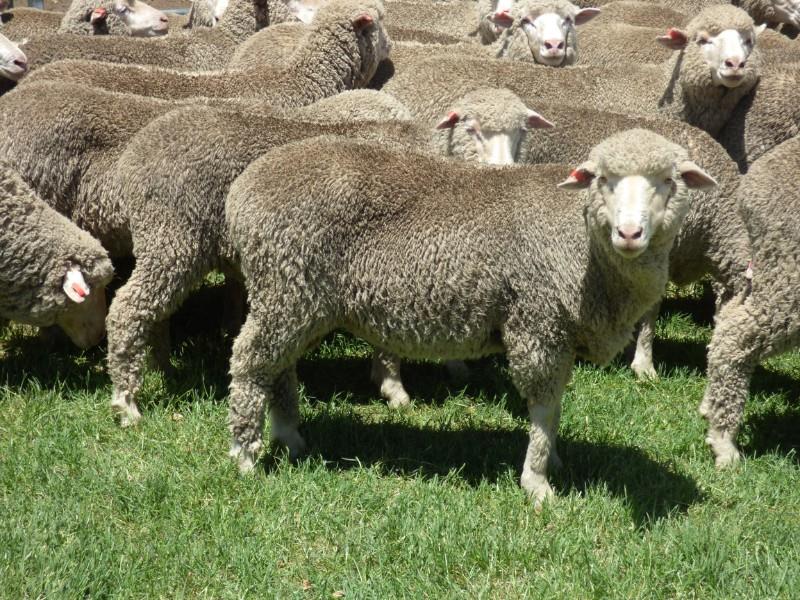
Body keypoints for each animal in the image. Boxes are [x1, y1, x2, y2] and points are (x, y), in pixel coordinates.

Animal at [222, 129, 716, 505]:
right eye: (603, 180)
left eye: (669, 180)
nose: (629, 233)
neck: (584, 248)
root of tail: (242, 190)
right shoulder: (536, 322)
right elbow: (543, 407)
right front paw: (538, 481)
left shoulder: (559, 332)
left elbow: (554, 407)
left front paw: (552, 458)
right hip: (284, 287)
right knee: (249, 363)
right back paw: (245, 454)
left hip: (296, 301)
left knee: (279, 367)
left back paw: (289, 436)